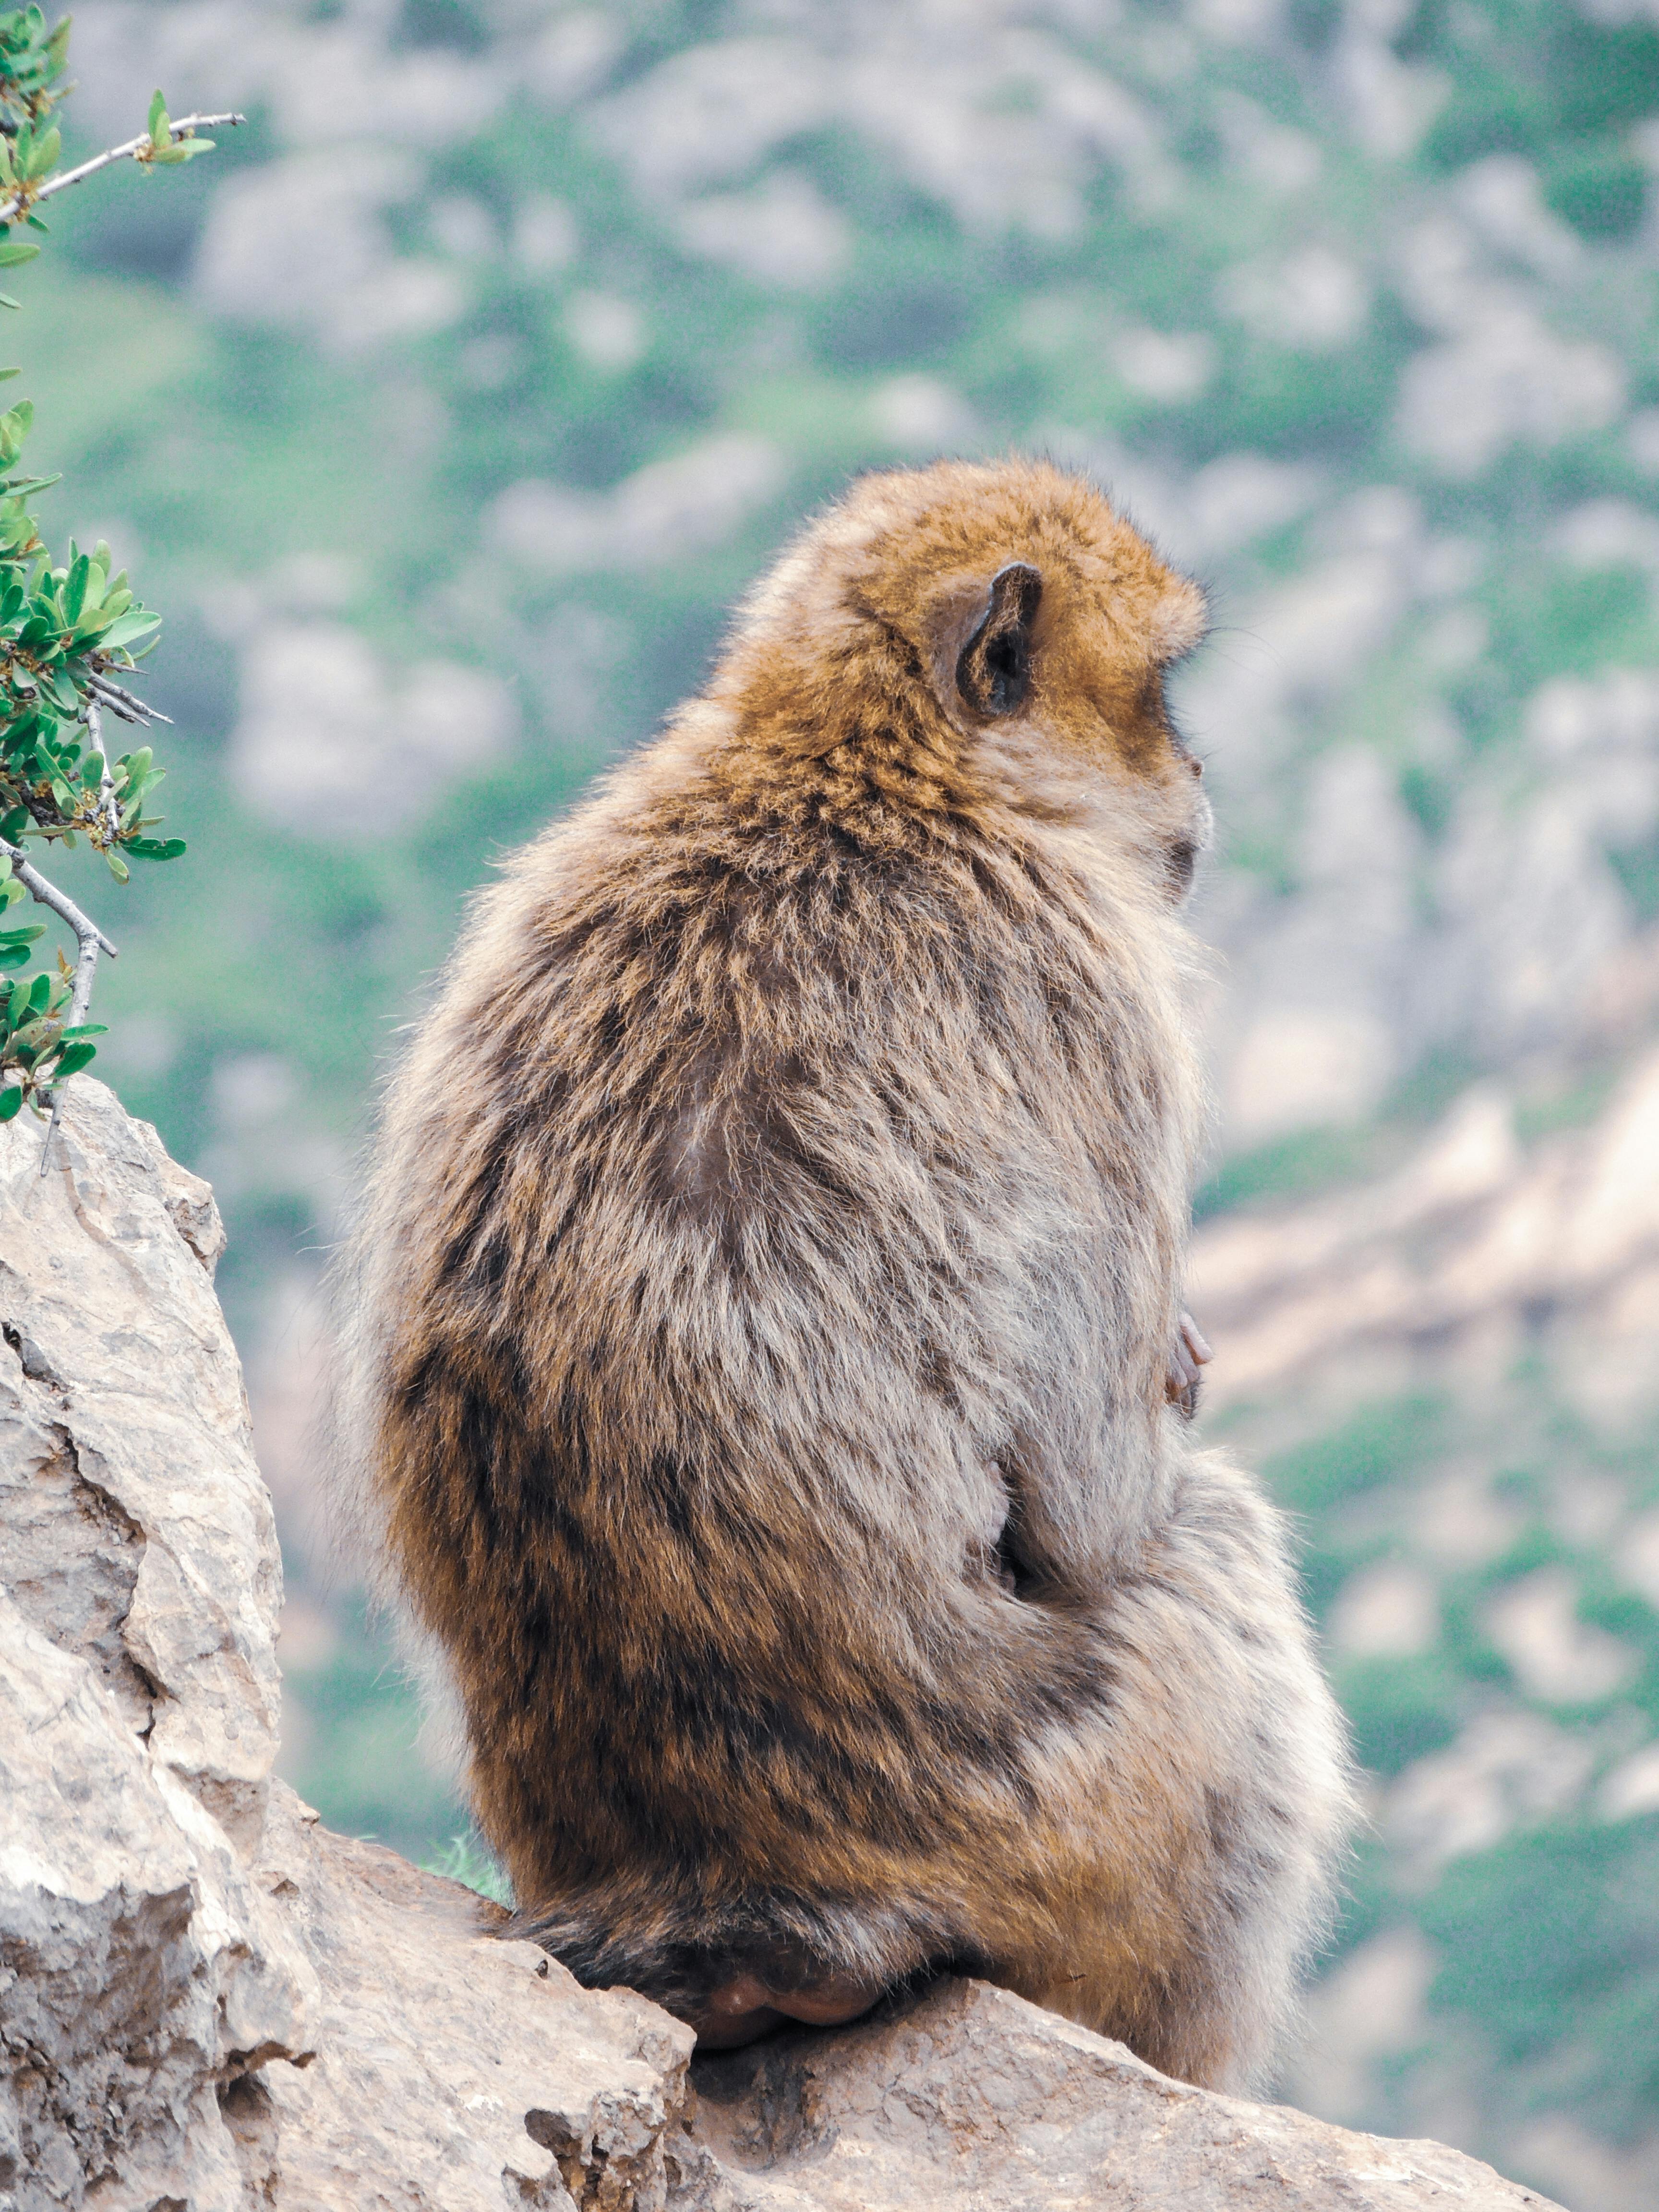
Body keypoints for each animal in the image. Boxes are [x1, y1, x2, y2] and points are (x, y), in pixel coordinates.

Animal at [326, 457, 1355, 2091]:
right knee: (1215, 1559)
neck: (858, 765)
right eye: (1161, 693)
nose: (1202, 784)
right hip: (1082, 1814)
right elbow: (1098, 1501)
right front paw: (1168, 1388)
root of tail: (737, 1893)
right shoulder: (1092, 1001)